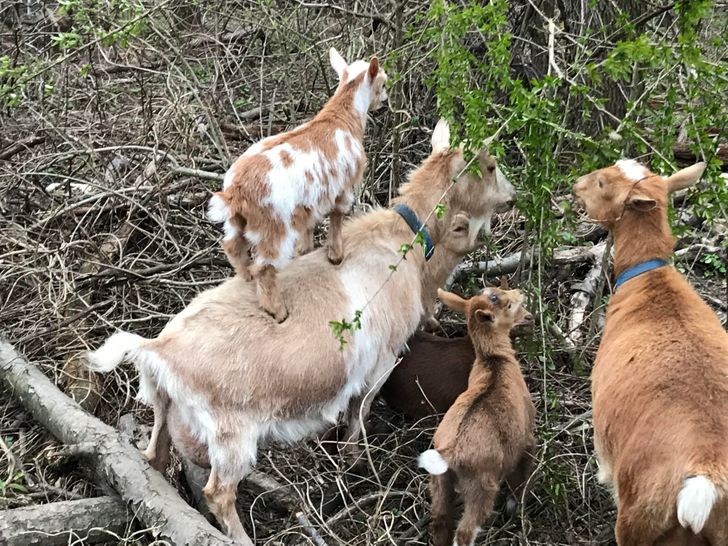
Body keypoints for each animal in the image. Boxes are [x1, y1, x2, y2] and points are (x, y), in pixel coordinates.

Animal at [86, 119, 515, 545]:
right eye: (491, 165)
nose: (511, 195)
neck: (399, 238)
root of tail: (158, 348)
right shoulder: (383, 360)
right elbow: (360, 410)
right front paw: (354, 461)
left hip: (162, 409)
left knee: (154, 460)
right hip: (230, 437)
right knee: (218, 492)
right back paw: (240, 536)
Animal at [208, 48, 388, 322]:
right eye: (383, 83)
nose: (385, 101)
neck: (340, 119)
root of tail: (234, 192)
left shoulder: (309, 202)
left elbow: (309, 228)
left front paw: (306, 251)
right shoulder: (344, 188)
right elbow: (338, 217)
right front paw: (336, 255)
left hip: (236, 222)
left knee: (232, 246)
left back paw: (245, 277)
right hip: (273, 228)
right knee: (264, 267)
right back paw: (277, 310)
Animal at [418, 286, 536, 546]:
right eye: (508, 305)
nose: (520, 292)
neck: (495, 363)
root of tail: (450, 453)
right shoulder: (527, 436)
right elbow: (521, 478)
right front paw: (517, 507)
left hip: (439, 481)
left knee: (440, 522)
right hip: (481, 485)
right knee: (465, 532)